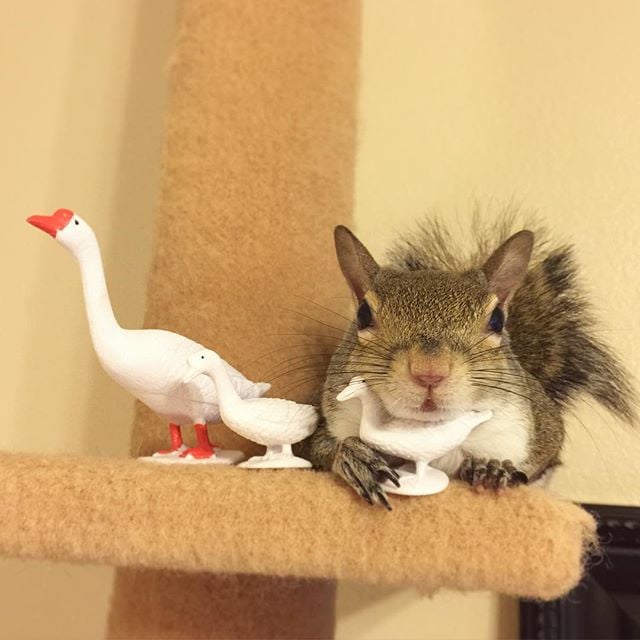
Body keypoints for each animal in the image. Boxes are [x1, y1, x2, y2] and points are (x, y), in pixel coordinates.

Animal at [304, 216, 637, 508]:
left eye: (497, 320)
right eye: (363, 314)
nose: (430, 372)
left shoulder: (540, 430)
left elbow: (538, 462)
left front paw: (489, 468)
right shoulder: (332, 423)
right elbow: (320, 449)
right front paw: (353, 455)